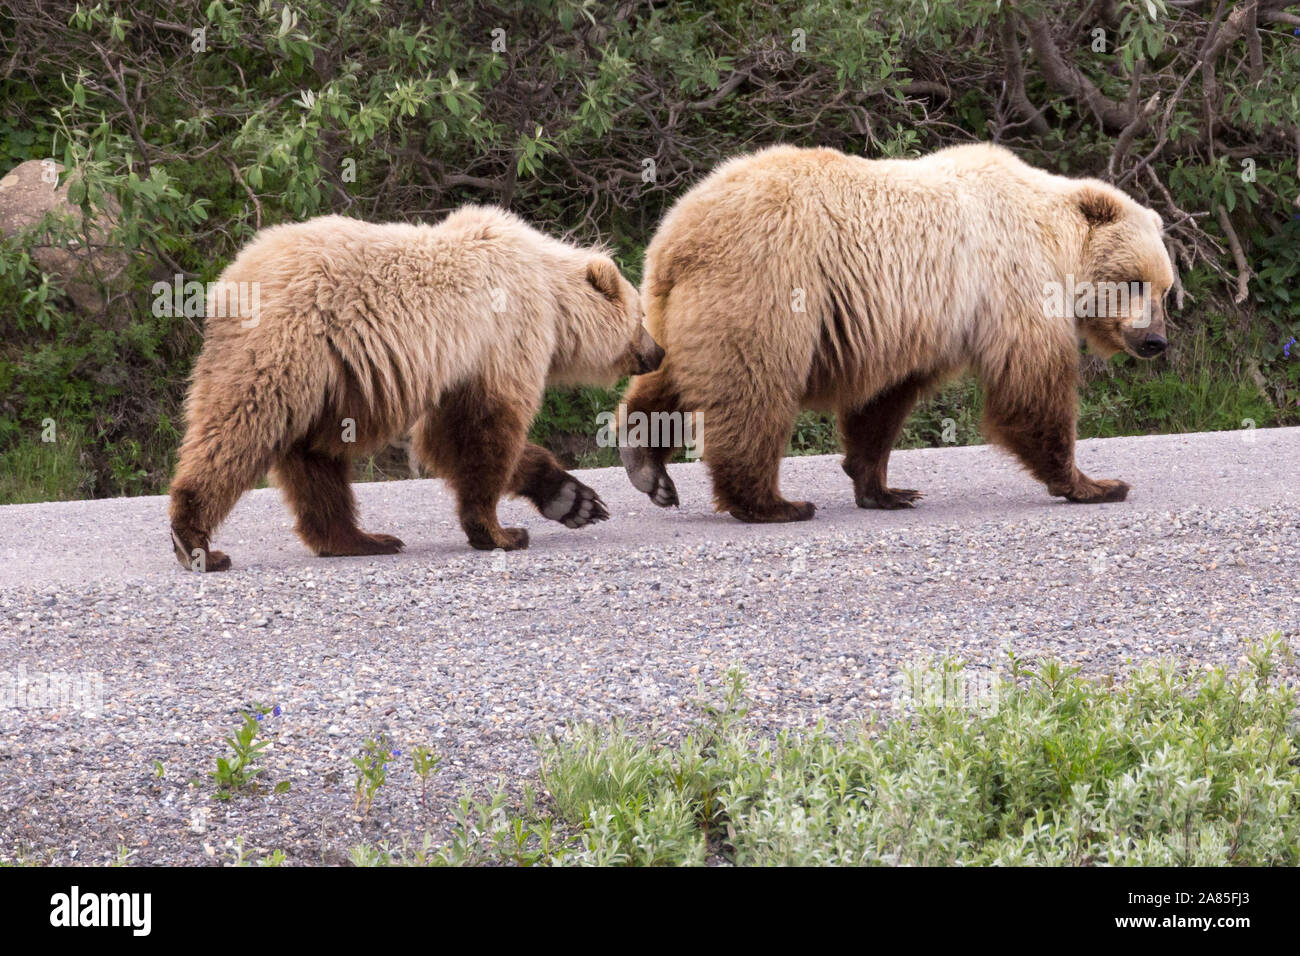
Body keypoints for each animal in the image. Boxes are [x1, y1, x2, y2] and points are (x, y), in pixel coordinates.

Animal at [169, 206, 663, 571]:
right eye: (641, 315)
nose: (657, 352)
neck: (551, 297)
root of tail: (228, 281)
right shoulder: (502, 338)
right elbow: (481, 430)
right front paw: (502, 532)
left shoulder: (463, 362)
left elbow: (450, 436)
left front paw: (574, 500)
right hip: (286, 348)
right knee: (239, 428)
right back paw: (196, 542)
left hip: (325, 385)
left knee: (313, 458)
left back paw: (360, 538)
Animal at [619, 143, 1173, 522]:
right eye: (1135, 281)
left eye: (1166, 288)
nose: (1156, 342)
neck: (1057, 244)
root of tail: (675, 234)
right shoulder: (1011, 281)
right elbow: (1032, 389)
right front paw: (1095, 483)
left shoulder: (911, 324)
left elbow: (882, 404)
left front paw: (884, 489)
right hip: (765, 284)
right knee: (753, 391)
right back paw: (772, 503)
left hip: (684, 310)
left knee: (670, 375)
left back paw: (646, 463)